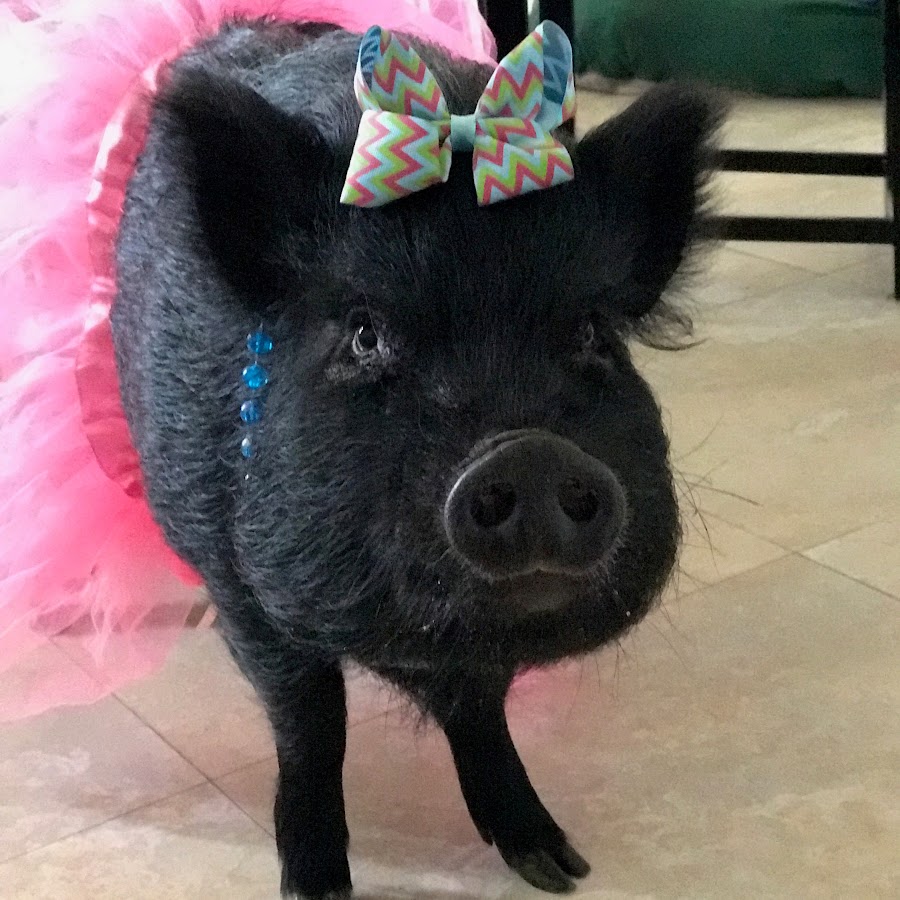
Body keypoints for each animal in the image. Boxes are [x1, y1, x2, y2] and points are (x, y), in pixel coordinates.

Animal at [110, 19, 721, 900]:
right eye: (366, 334)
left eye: (589, 331)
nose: (527, 453)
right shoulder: (238, 582)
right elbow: (312, 721)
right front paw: (317, 886)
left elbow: (481, 709)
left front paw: (555, 866)